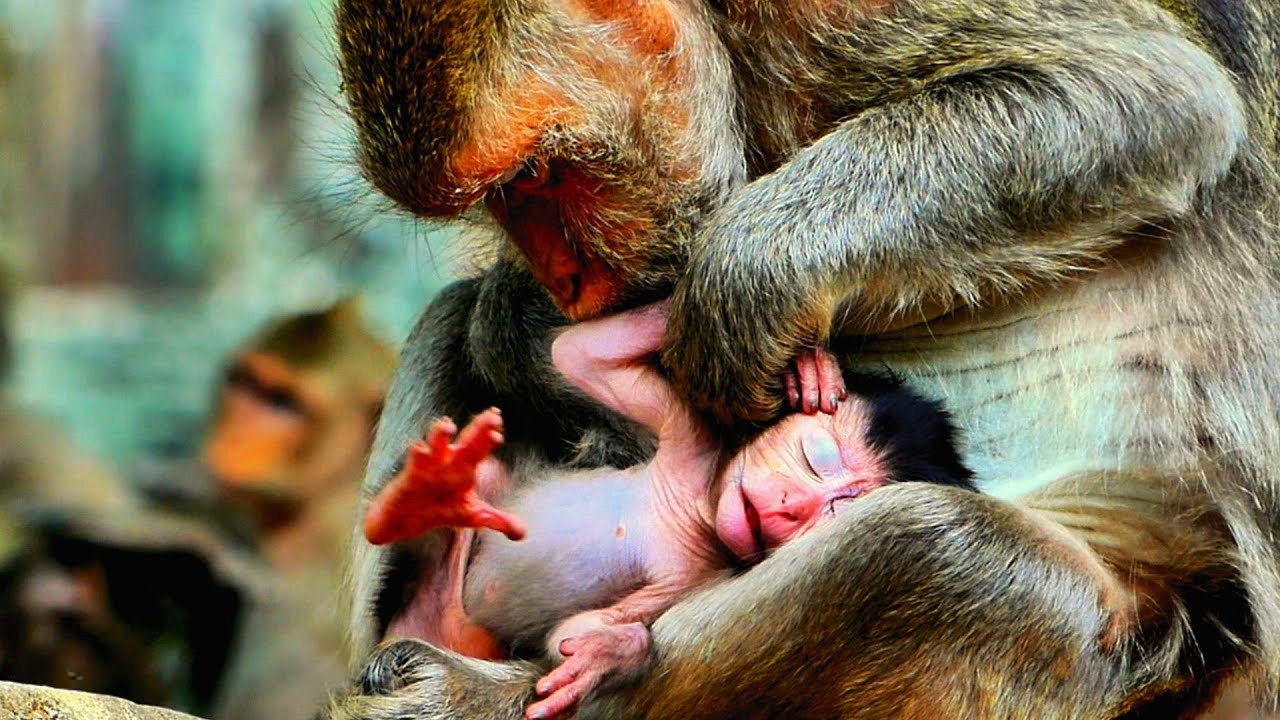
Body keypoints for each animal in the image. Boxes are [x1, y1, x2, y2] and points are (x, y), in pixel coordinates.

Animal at [362, 301, 975, 720]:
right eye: (817, 458)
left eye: (835, 511)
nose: (788, 507)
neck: (699, 509)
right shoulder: (689, 434)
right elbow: (581, 356)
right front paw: (807, 361)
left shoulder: (698, 579)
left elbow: (574, 634)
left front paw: (611, 653)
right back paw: (424, 493)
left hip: (448, 625)